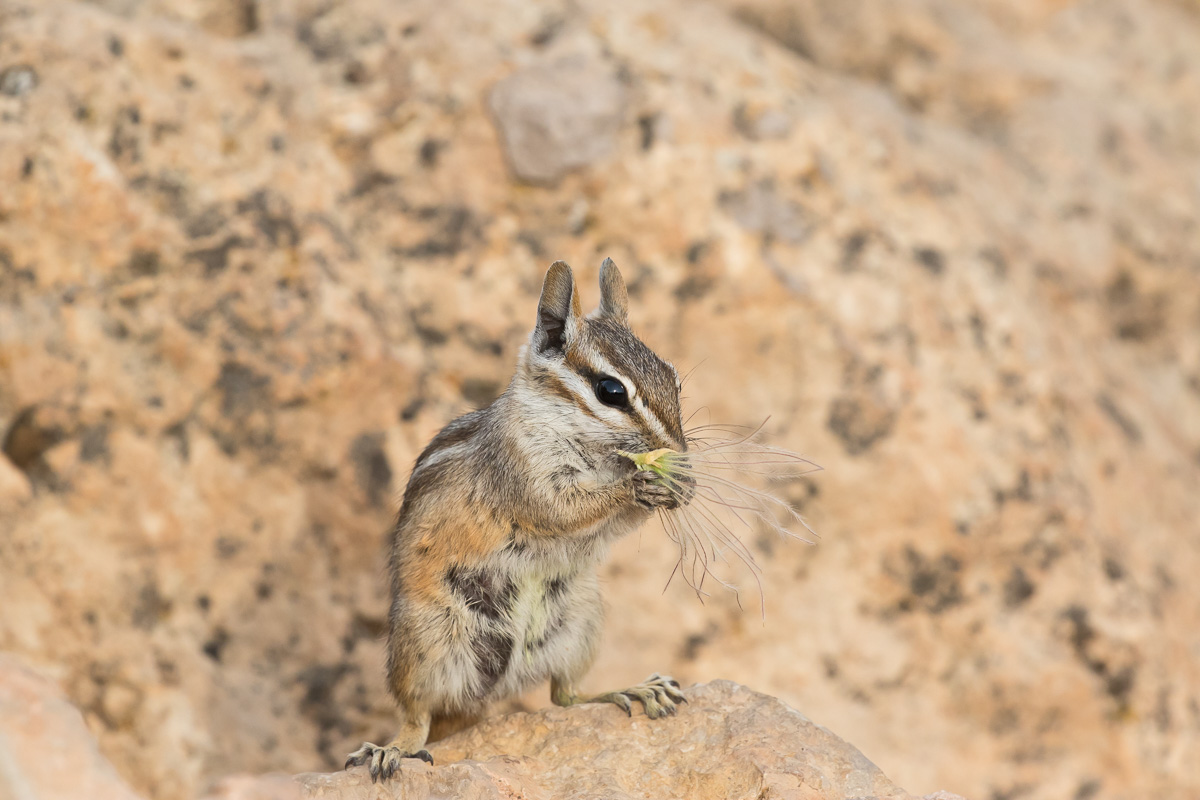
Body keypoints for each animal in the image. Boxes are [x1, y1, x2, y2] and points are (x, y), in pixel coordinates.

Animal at [345, 258, 693, 781]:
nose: (679, 452)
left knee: (565, 695)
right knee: (416, 715)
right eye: (611, 391)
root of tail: (485, 696)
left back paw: (630, 689)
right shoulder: (521, 474)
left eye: (673, 378)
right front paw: (640, 484)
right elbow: (562, 509)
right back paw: (392, 750)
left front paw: (678, 485)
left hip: (578, 624)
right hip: (427, 641)